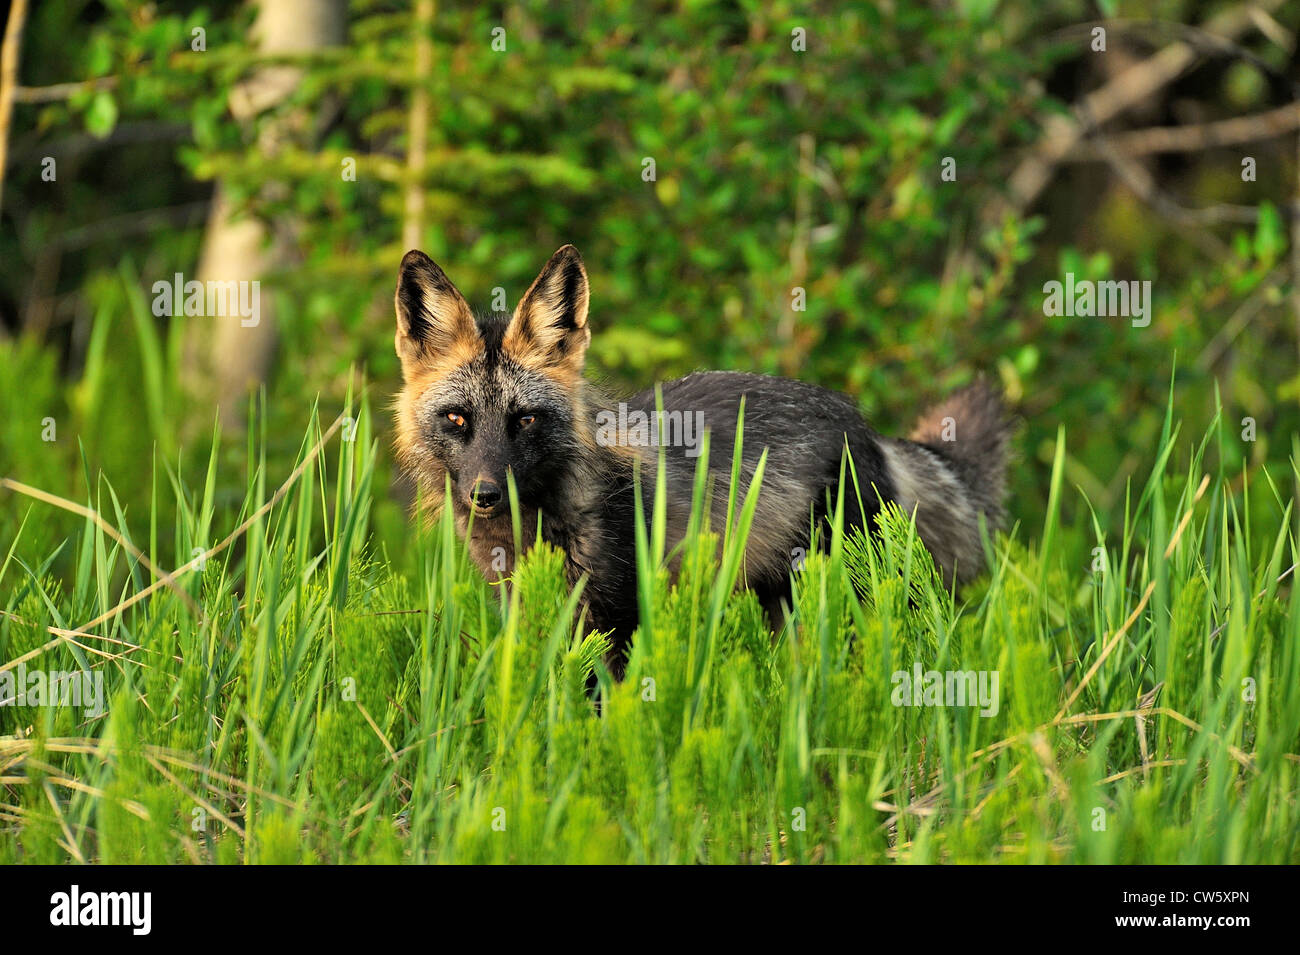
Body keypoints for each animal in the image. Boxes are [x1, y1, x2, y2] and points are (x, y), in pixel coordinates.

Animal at [393, 245, 1010, 674]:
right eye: (457, 420)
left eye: (525, 420)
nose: (485, 494)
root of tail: (864, 425)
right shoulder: (530, 615)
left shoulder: (619, 620)